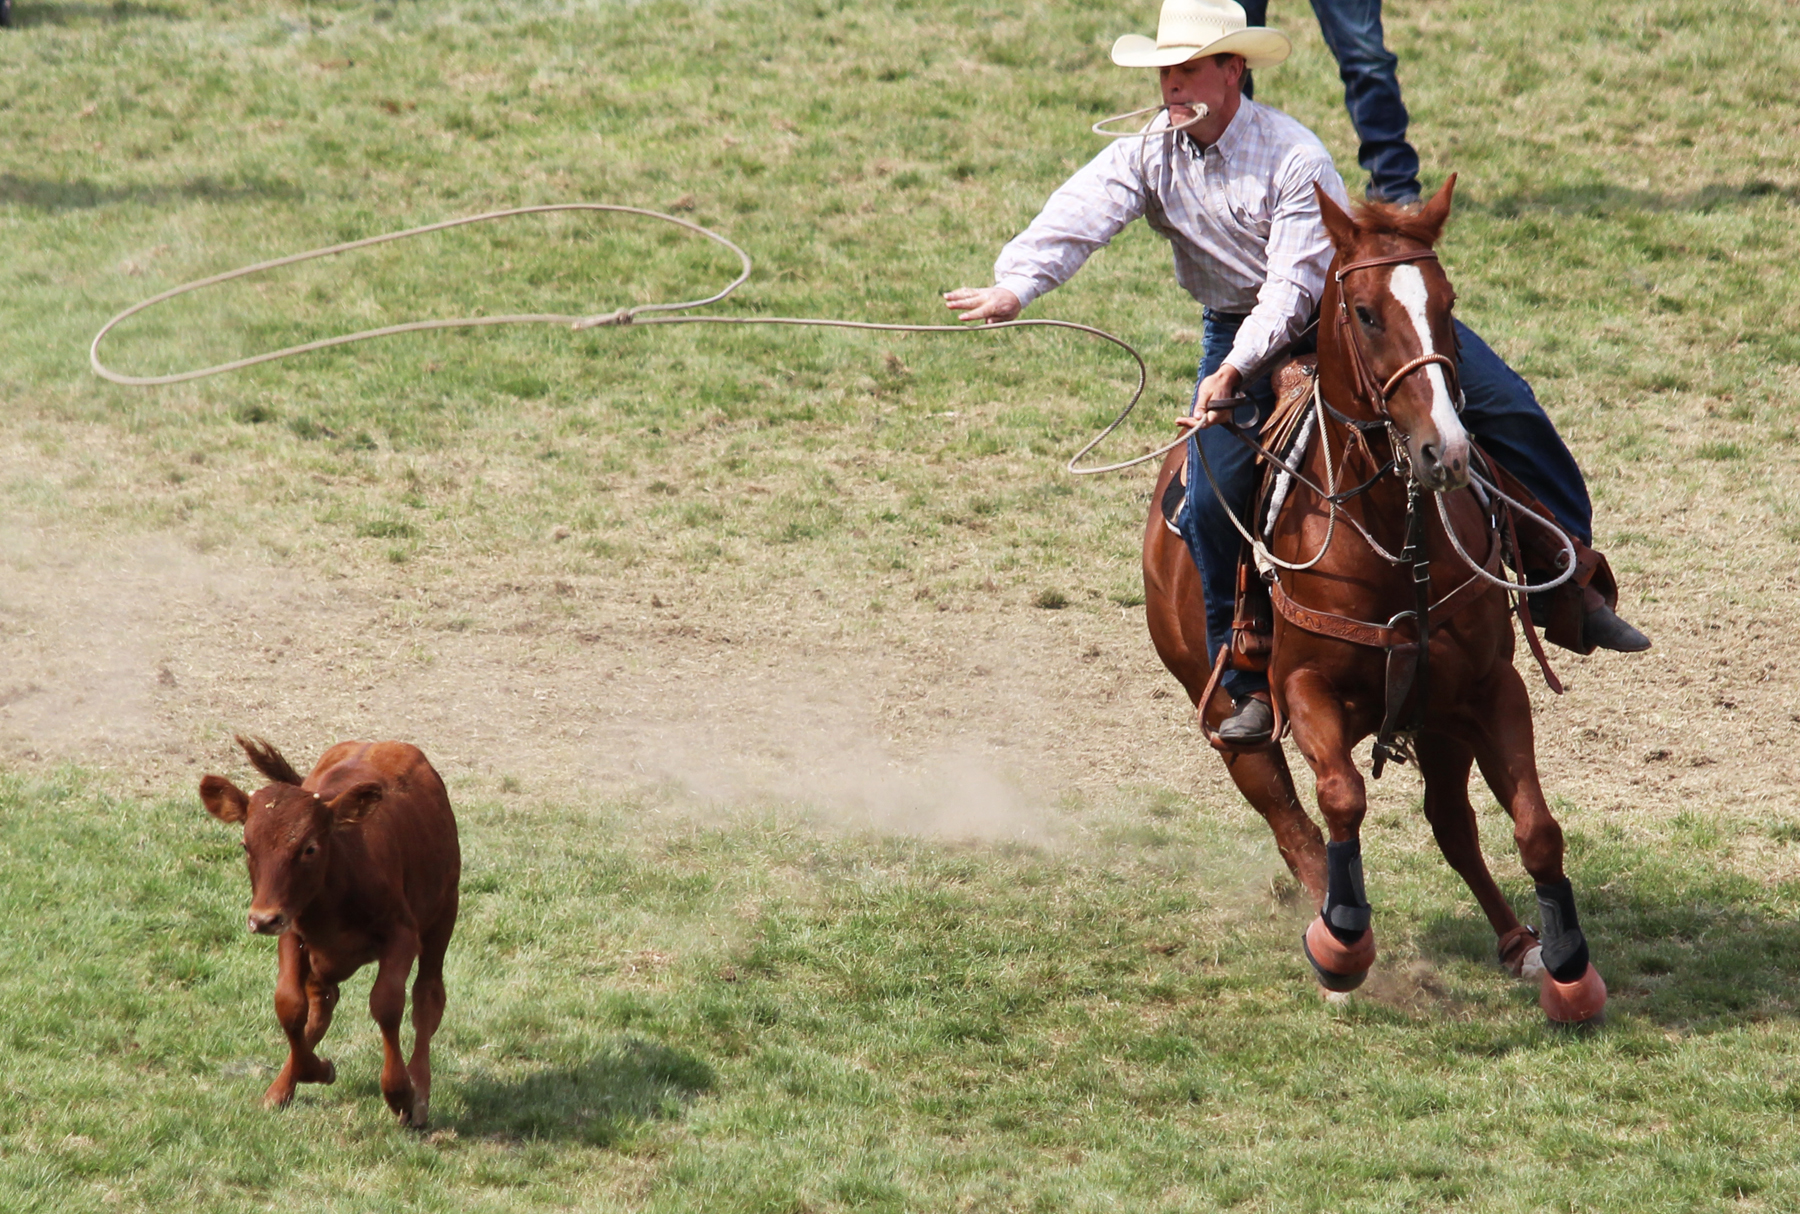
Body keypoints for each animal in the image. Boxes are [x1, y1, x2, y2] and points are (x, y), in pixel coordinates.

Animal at [200, 735, 460, 1127]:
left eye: (309, 847)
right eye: (246, 845)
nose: (262, 919)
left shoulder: (402, 934)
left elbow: (386, 1003)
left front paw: (401, 1094)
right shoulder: (292, 932)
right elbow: (289, 1005)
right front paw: (315, 1069)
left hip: (443, 914)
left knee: (427, 998)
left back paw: (420, 1094)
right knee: (321, 1003)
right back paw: (283, 1085)